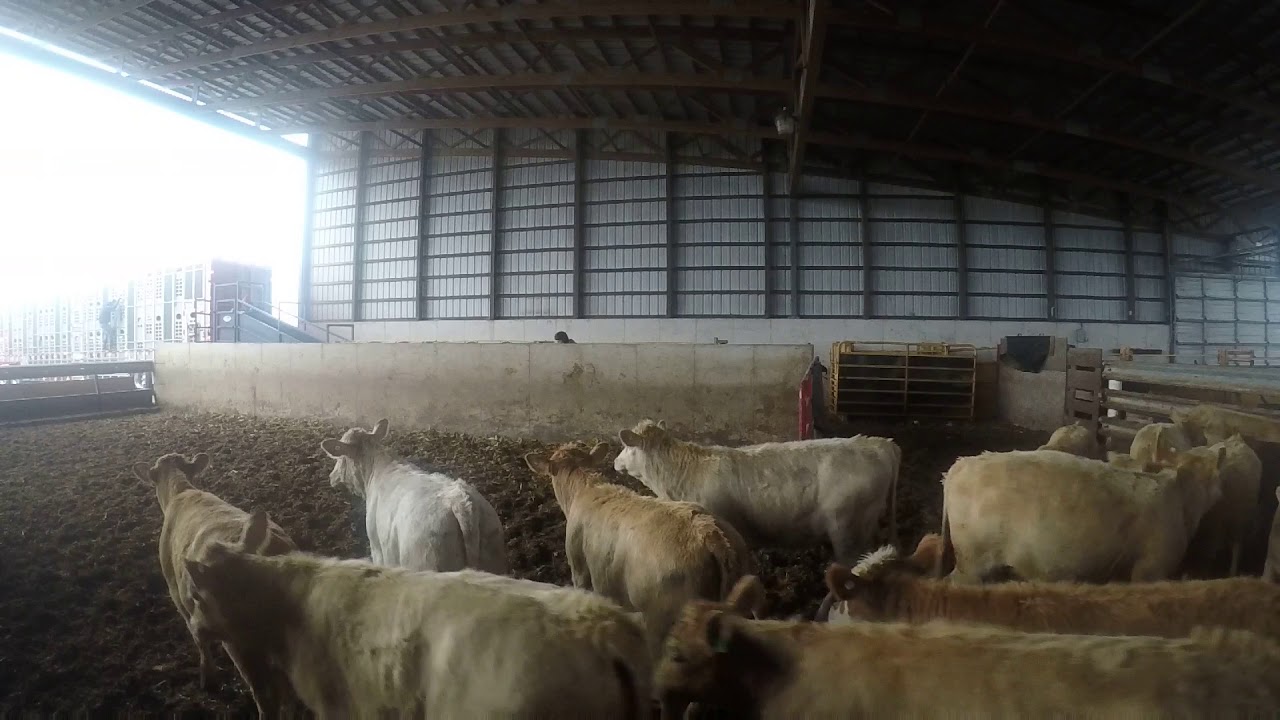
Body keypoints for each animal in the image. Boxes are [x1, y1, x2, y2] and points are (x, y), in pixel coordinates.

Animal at [131, 452, 297, 716]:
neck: (181, 491)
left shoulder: (179, 598)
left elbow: (200, 643)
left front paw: (208, 679)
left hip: (244, 647)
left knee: (267, 697)